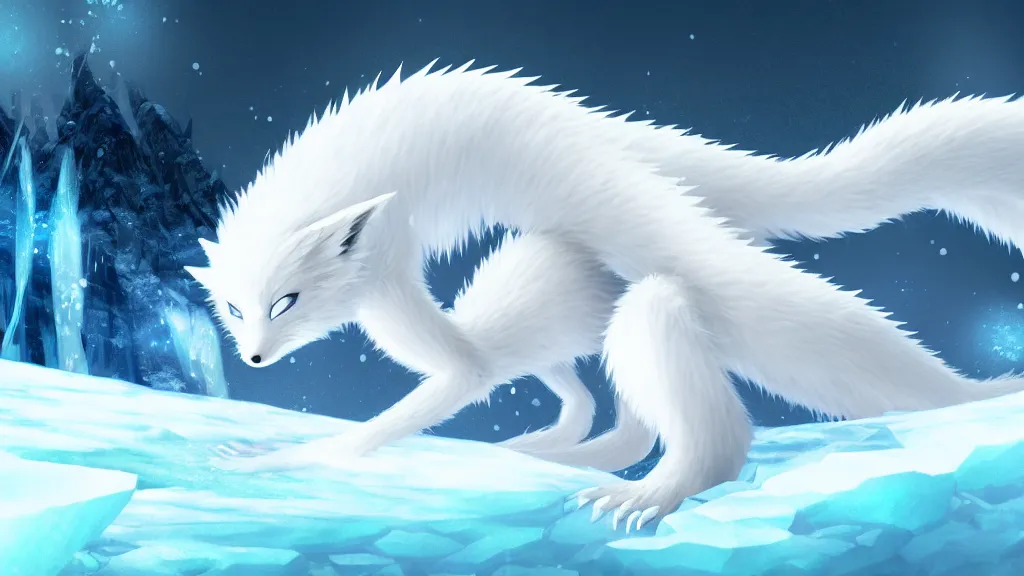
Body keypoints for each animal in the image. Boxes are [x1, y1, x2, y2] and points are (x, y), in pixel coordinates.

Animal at [186, 59, 1024, 532]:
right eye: (234, 309)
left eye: (287, 301)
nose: (254, 360)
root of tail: (598, 122)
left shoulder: (390, 266)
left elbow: (460, 374)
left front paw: (275, 459)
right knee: (615, 416)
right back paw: (546, 455)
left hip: (620, 214)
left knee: (715, 366)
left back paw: (663, 485)